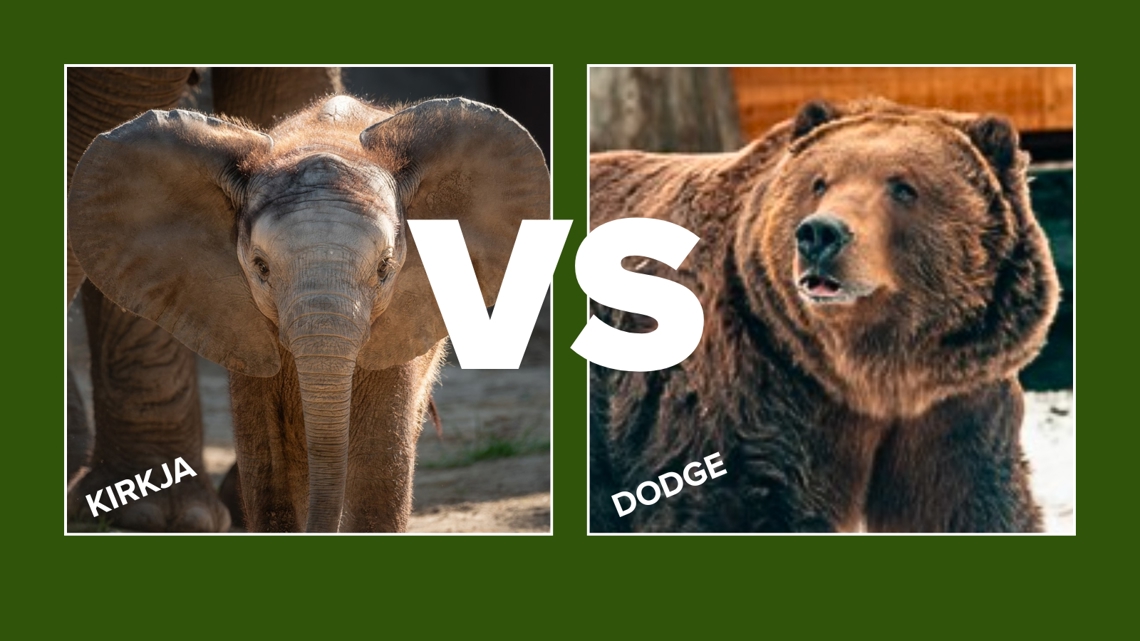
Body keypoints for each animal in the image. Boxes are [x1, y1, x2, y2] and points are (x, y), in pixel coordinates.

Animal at [589, 98, 1060, 533]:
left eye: (904, 187)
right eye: (819, 182)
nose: (821, 233)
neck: (872, 374)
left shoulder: (954, 408)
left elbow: (966, 506)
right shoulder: (762, 397)